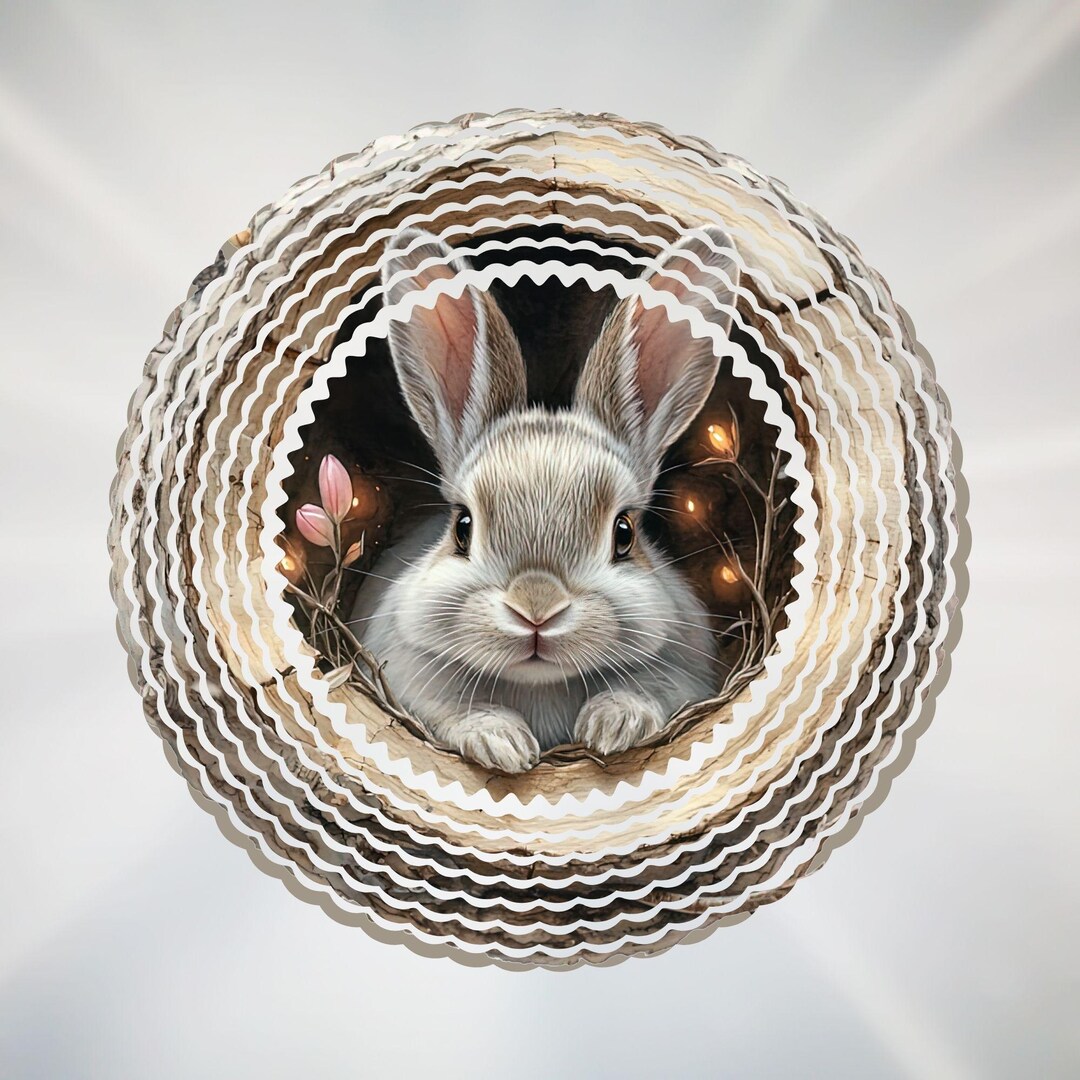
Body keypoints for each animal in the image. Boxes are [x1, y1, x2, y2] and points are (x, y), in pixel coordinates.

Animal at [350, 225, 740, 773]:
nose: (537, 609)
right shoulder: (405, 670)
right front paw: (501, 742)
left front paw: (613, 724)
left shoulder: (684, 668)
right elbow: (453, 709)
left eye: (624, 533)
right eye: (462, 527)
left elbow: (650, 692)